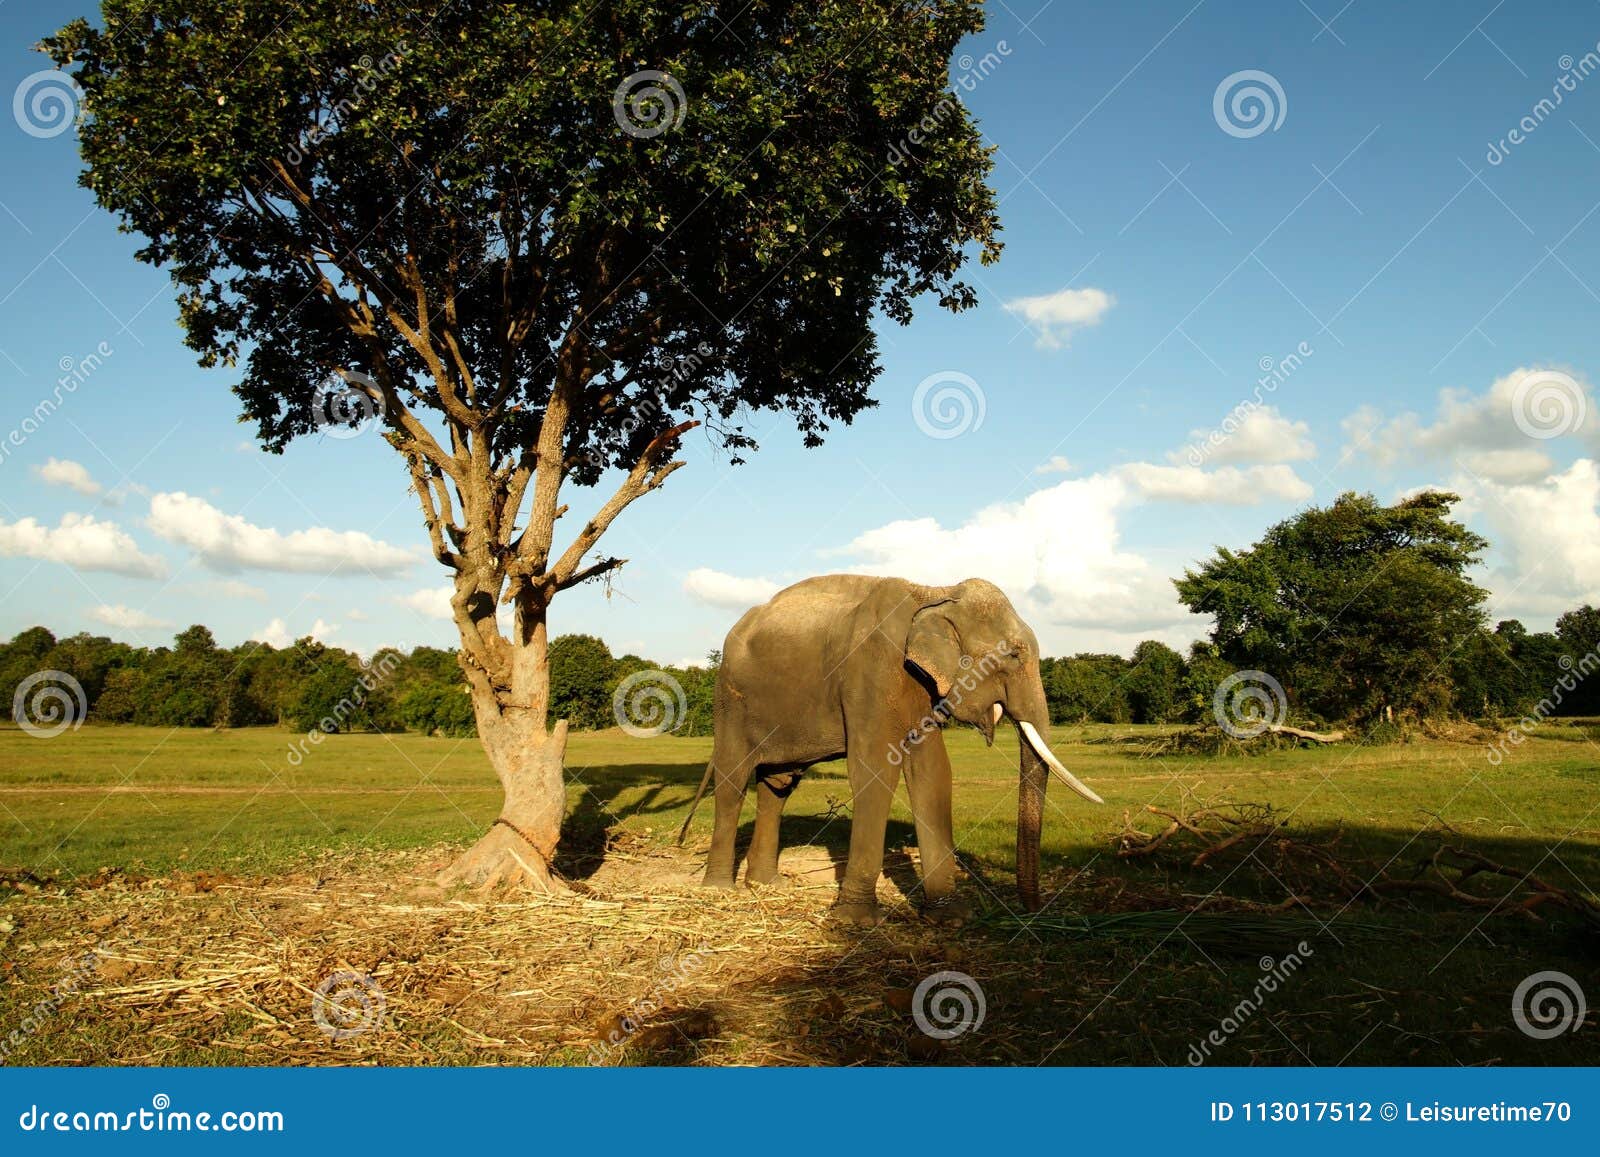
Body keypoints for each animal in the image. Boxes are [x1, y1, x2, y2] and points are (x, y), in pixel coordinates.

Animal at [677, 574, 1103, 926]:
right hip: (730, 701)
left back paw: (768, 885)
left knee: (777, 786)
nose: (1030, 911)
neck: (934, 591)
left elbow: (933, 772)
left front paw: (952, 917)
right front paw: (856, 921)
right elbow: (875, 768)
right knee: (733, 784)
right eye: (1014, 654)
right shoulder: (871, 672)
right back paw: (720, 889)